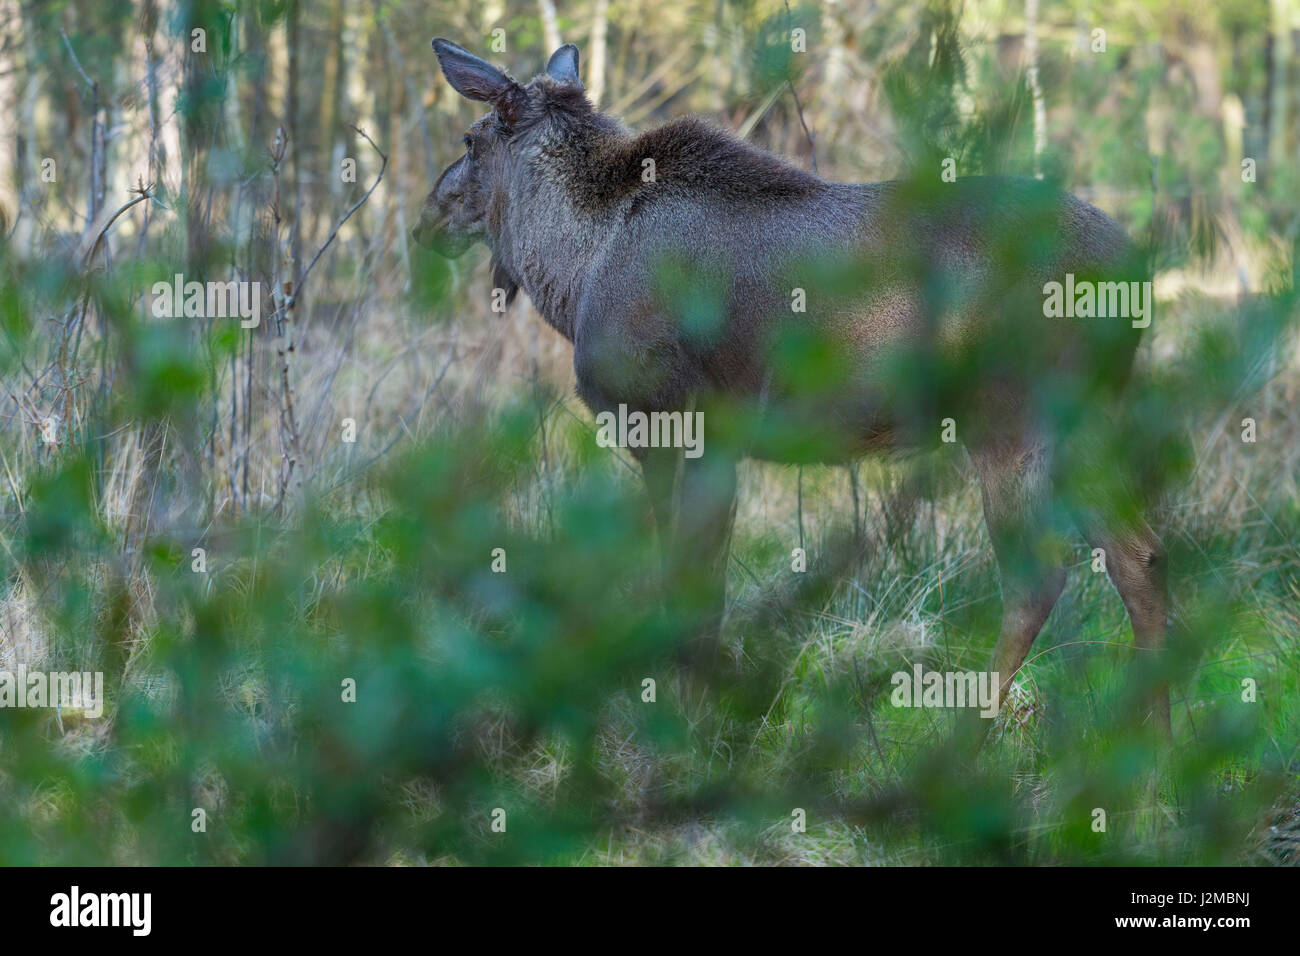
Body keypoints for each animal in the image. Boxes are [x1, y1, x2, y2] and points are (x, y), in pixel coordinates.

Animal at [413, 38, 1171, 736]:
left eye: (471, 139)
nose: (426, 221)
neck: (574, 271)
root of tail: (1135, 275)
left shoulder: (665, 420)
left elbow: (685, 585)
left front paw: (683, 727)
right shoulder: (713, 443)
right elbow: (702, 588)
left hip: (1007, 415)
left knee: (1040, 578)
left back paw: (971, 734)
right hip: (1084, 421)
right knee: (1140, 556)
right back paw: (1156, 740)